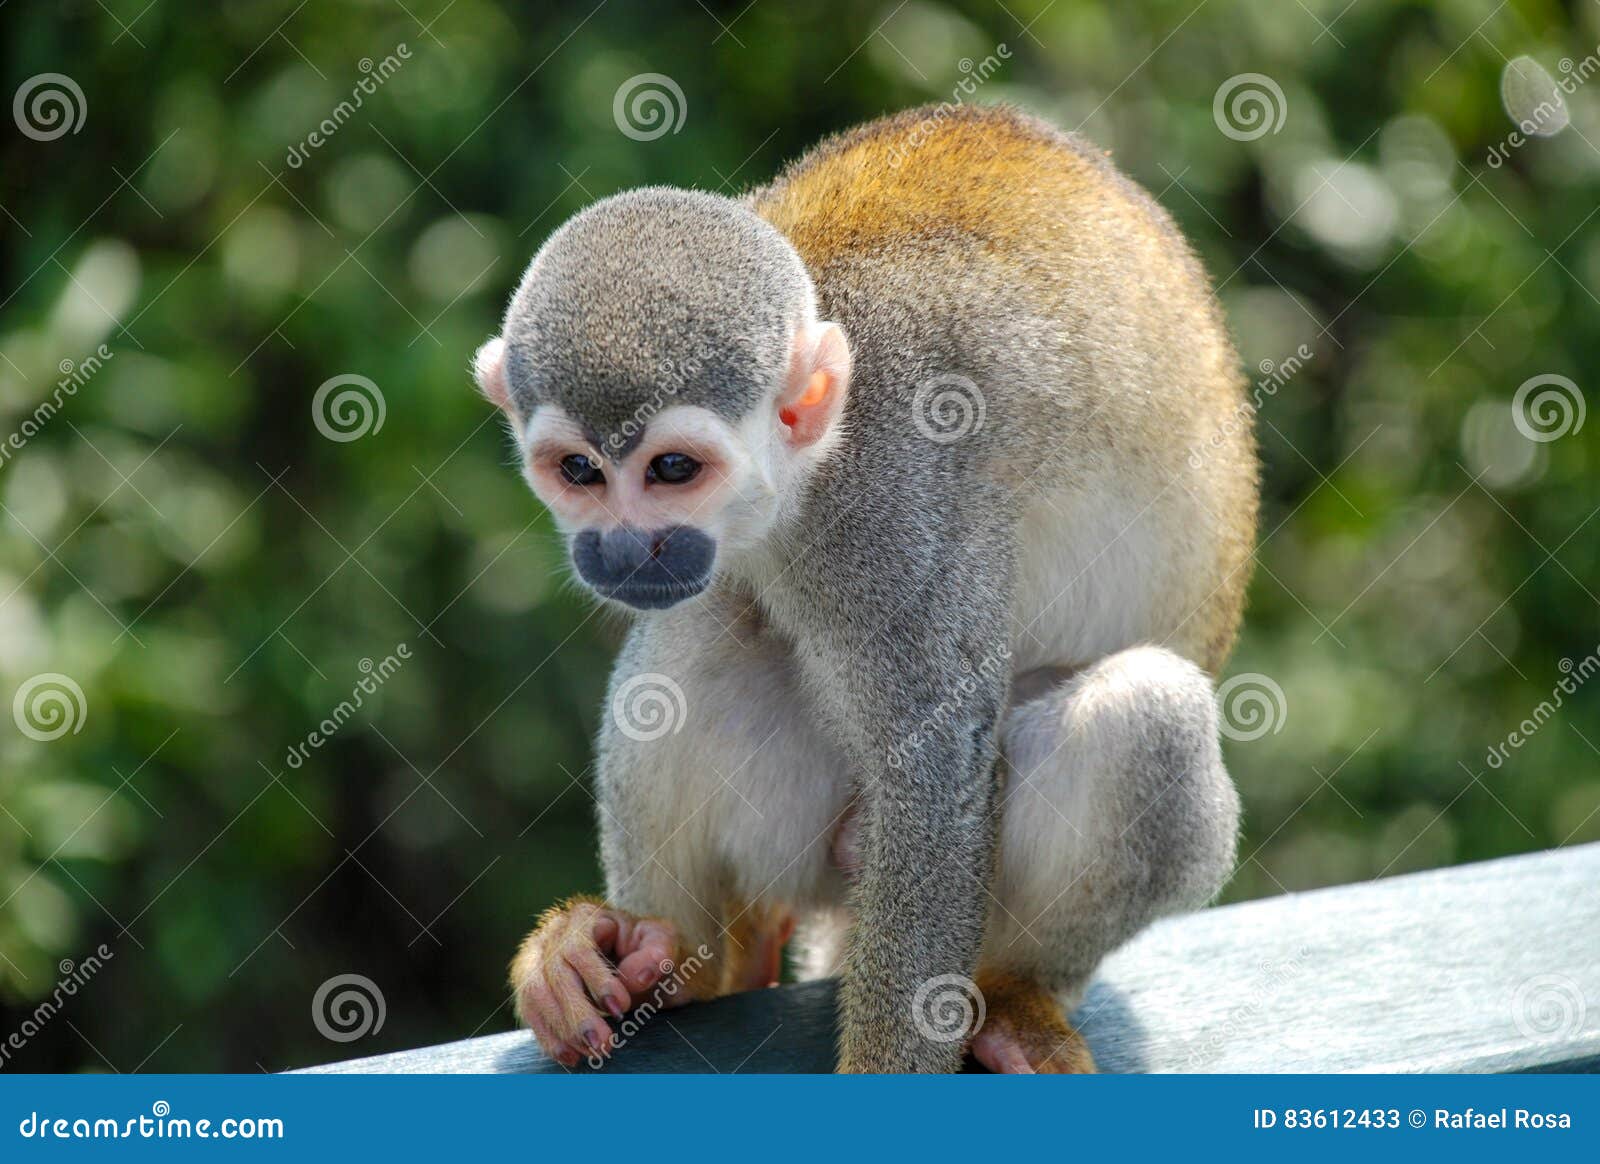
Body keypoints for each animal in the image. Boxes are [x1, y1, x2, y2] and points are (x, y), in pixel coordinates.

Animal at [473, 104, 1256, 1073]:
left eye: (673, 469)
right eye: (579, 470)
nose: (620, 553)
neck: (799, 475)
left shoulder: (890, 502)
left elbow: (933, 765)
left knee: (1147, 718)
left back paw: (1011, 996)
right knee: (706, 630)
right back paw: (673, 967)